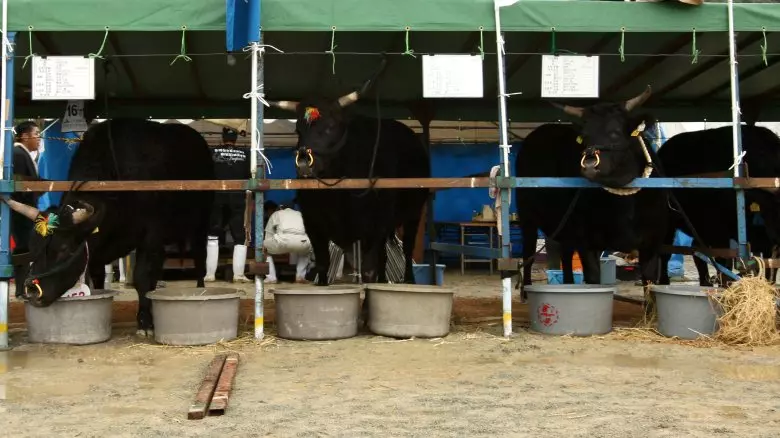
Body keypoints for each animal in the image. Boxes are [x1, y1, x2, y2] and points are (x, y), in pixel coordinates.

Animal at [6, 118, 215, 338]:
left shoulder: (151, 237)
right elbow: (98, 279)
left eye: (63, 248)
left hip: (201, 223)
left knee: (200, 260)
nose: (32, 291)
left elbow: (142, 277)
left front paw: (145, 323)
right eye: (33, 248)